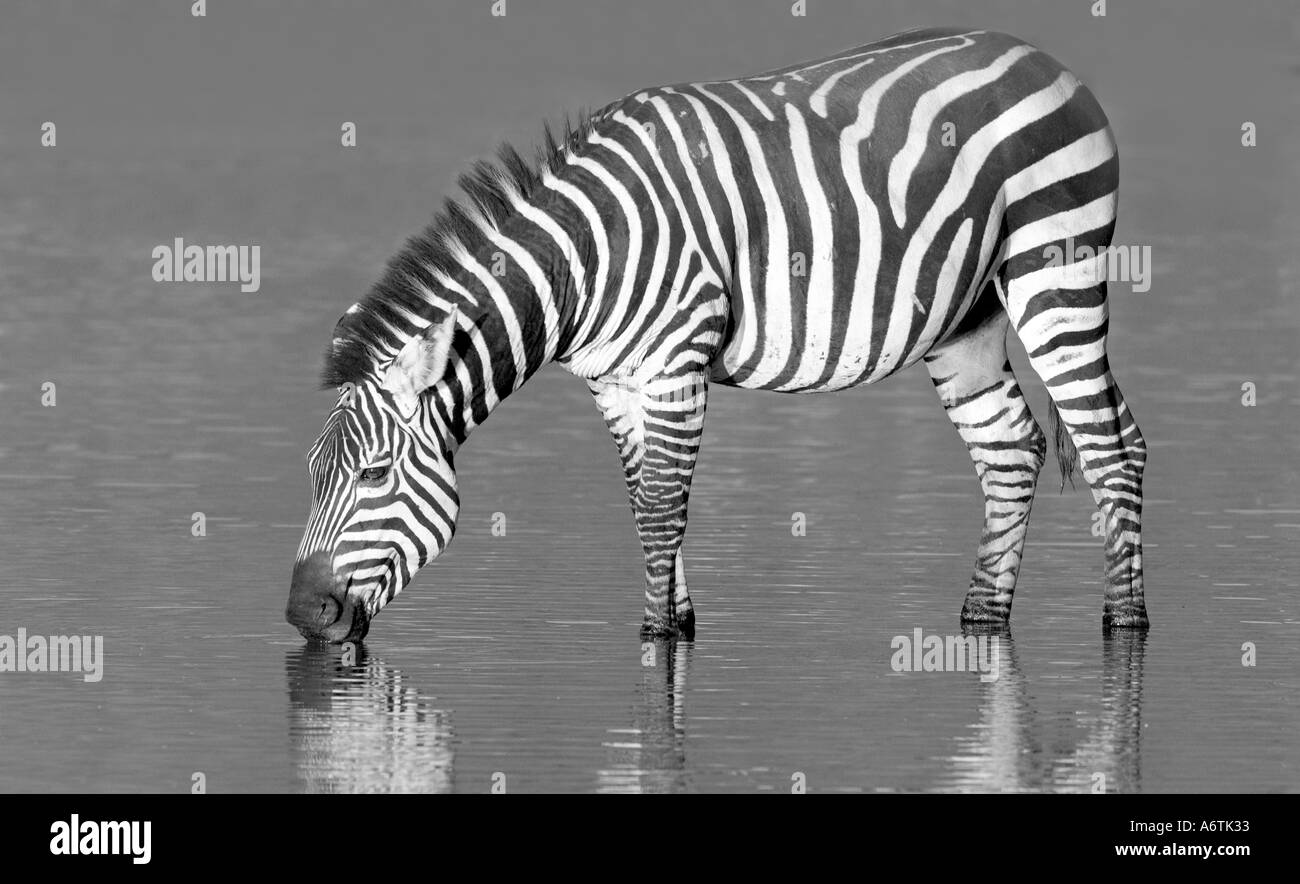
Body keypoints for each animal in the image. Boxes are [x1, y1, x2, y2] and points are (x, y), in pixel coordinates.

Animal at [286, 26, 1149, 644]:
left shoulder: (676, 366)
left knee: (1113, 445)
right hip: (965, 320)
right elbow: (645, 501)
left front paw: (658, 635)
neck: (584, 261)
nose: (302, 616)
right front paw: (680, 619)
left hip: (1054, 272)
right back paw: (981, 619)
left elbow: (662, 509)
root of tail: (1042, 58)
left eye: (372, 477)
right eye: (313, 476)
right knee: (1012, 451)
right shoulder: (615, 382)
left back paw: (1126, 619)